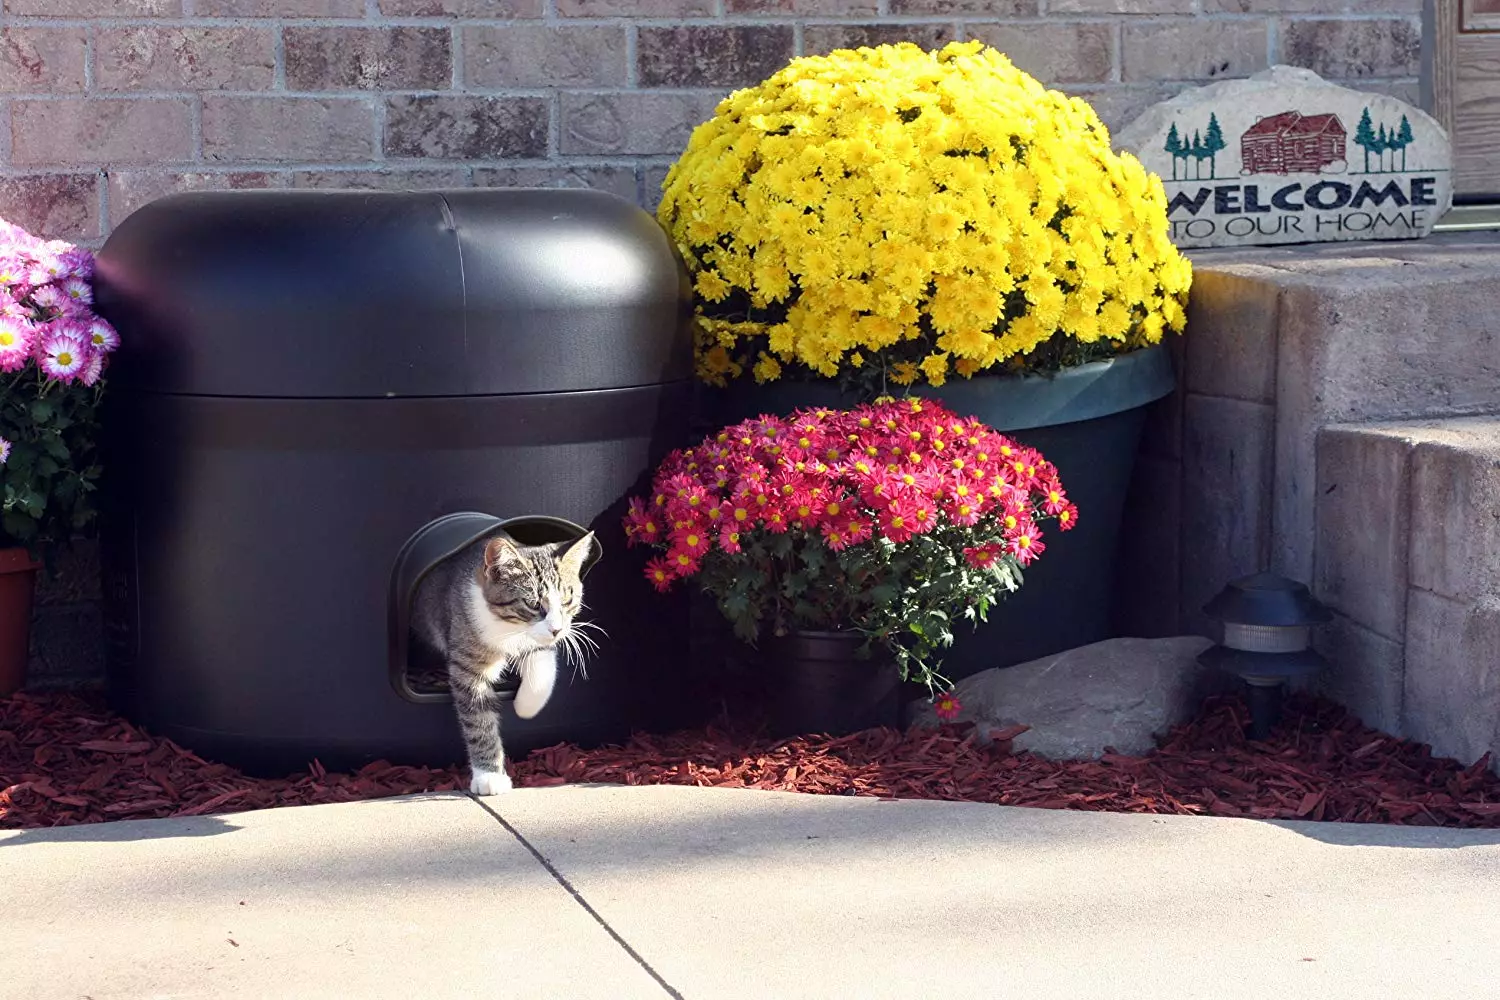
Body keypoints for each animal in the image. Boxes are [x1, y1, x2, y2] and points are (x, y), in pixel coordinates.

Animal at [414, 530, 600, 797]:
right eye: (533, 604)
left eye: (568, 600)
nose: (557, 630)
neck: (509, 627)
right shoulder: (467, 658)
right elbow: (478, 719)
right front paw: (489, 775)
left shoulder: (538, 641)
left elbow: (542, 659)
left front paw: (526, 706)